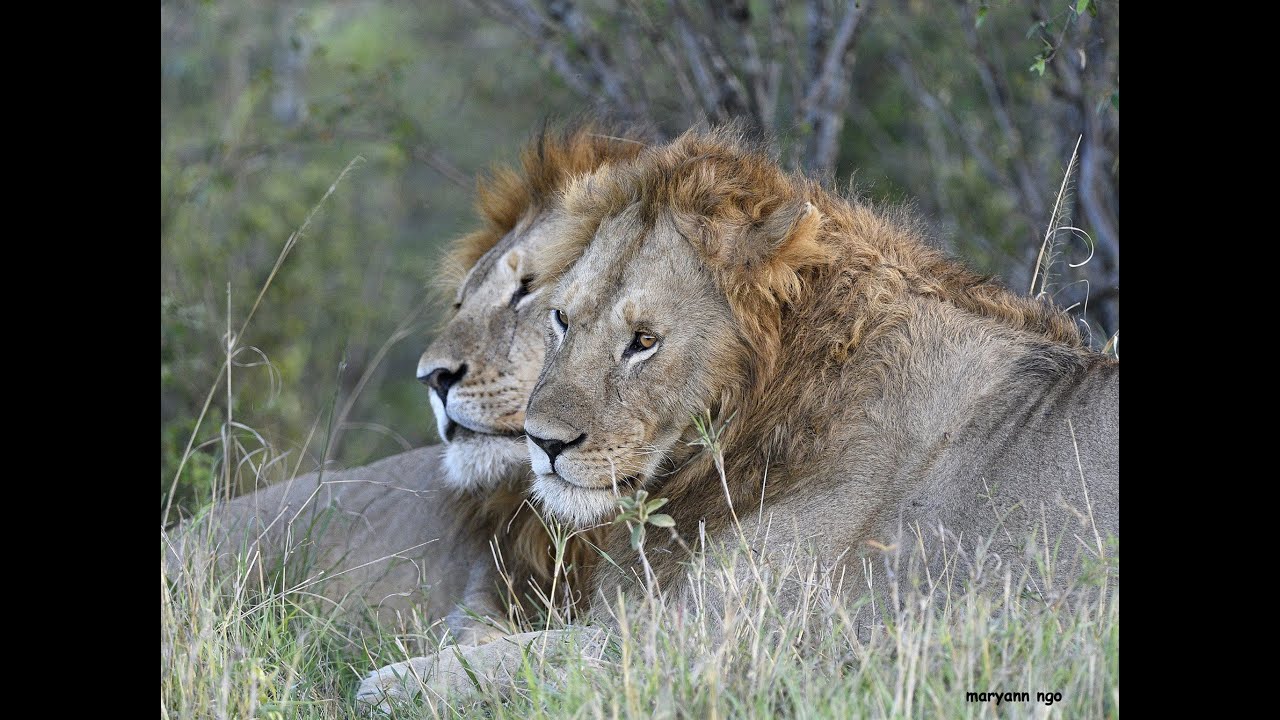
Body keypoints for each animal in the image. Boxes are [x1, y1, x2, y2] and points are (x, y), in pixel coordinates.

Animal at [359, 126, 1117, 707]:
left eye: (644, 341)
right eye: (562, 319)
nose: (545, 444)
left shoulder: (718, 643)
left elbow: (529, 657)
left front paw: (389, 683)